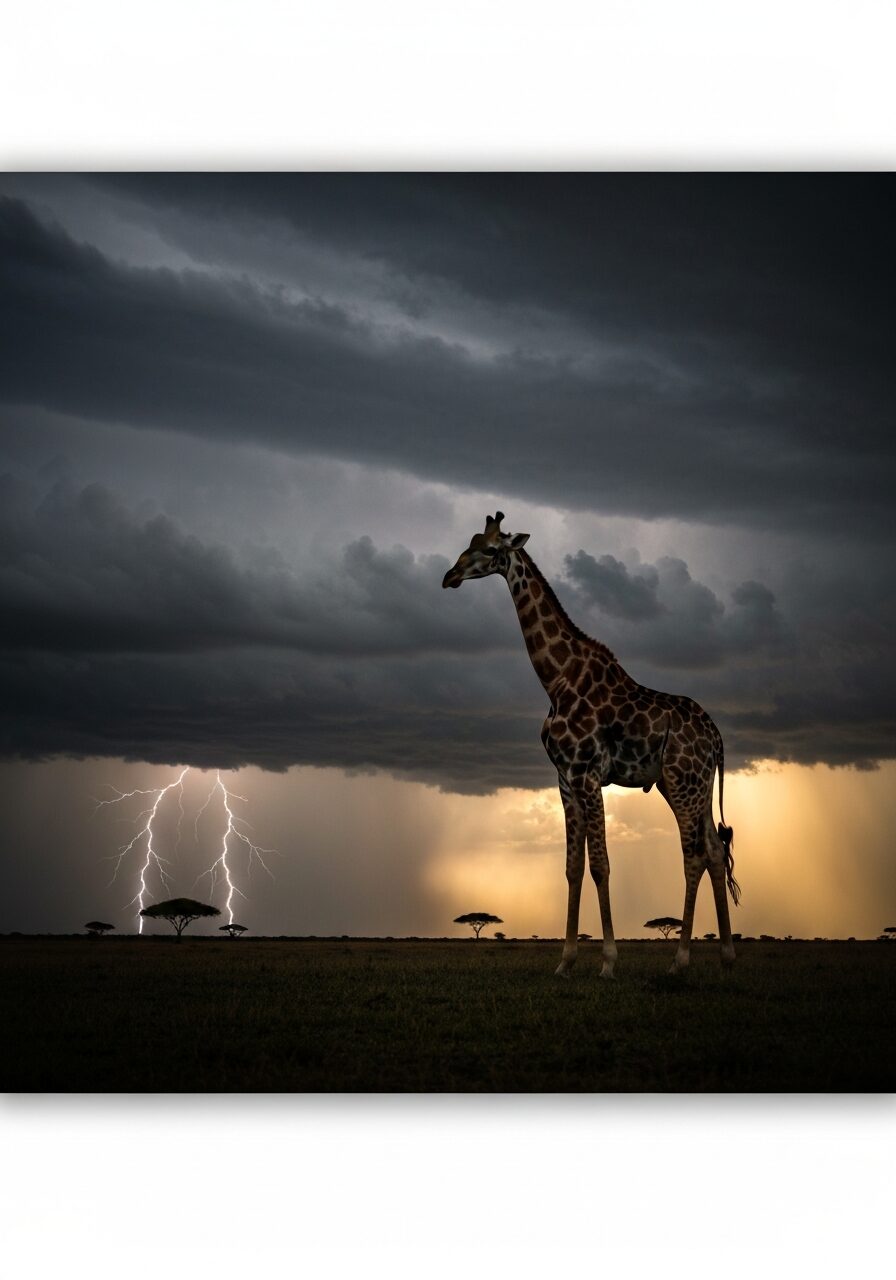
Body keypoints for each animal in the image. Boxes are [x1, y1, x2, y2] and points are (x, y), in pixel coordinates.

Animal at [442, 512, 740, 979]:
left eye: (490, 550)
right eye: (468, 542)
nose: (449, 576)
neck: (557, 679)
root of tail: (717, 738)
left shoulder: (588, 774)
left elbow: (601, 865)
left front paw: (608, 963)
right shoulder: (564, 778)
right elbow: (573, 868)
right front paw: (565, 961)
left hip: (682, 780)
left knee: (693, 855)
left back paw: (679, 961)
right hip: (691, 784)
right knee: (712, 849)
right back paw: (726, 956)